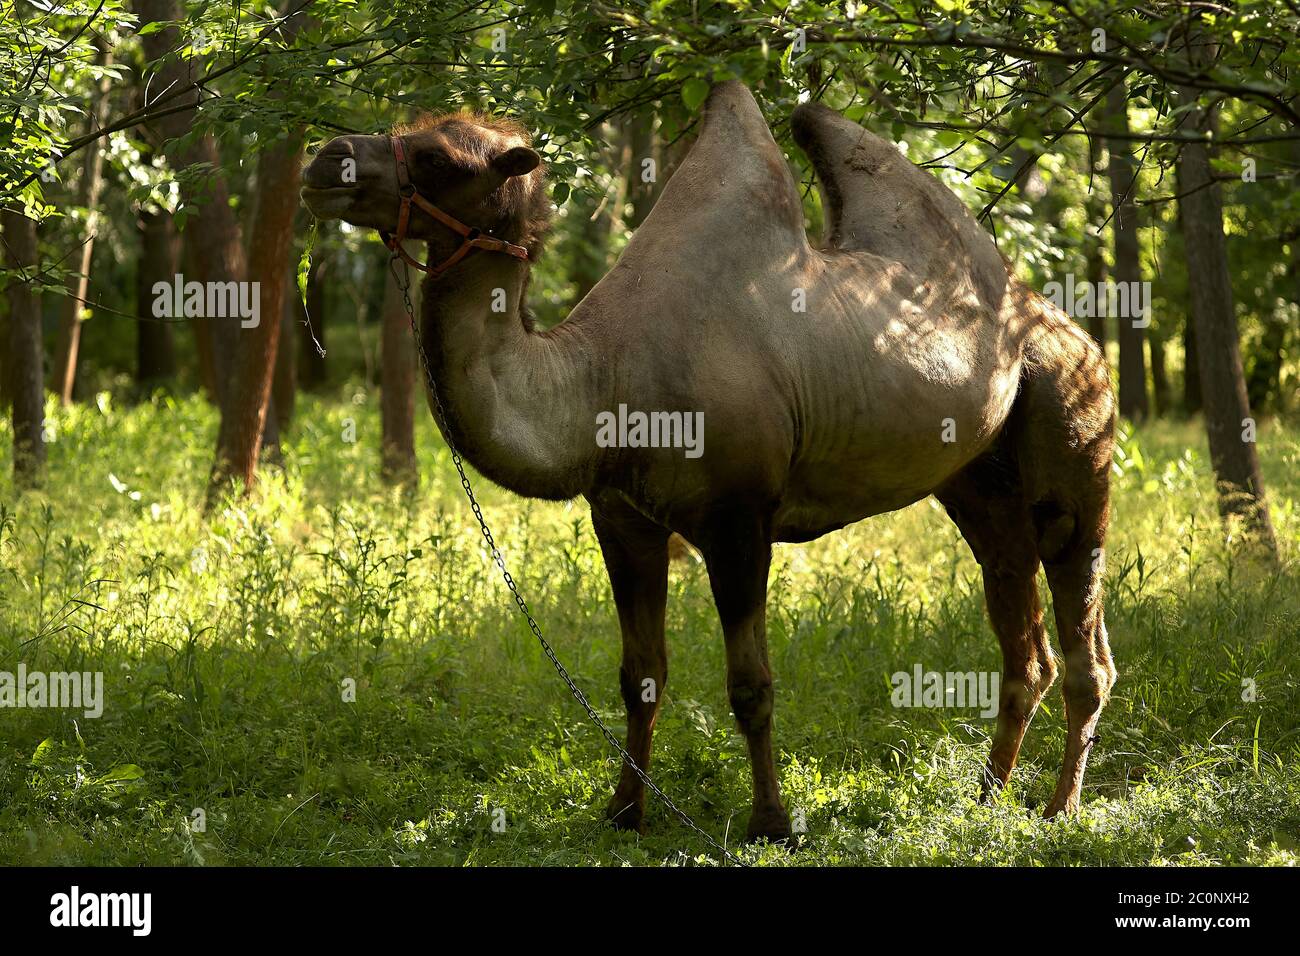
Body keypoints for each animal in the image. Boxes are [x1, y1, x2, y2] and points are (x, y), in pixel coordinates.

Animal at [300, 81, 1117, 843]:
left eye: (438, 159)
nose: (321, 159)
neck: (603, 379)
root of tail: (1064, 322)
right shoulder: (621, 518)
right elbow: (640, 677)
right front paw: (622, 811)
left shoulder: (738, 520)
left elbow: (750, 685)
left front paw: (772, 821)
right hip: (977, 485)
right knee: (1024, 641)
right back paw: (988, 798)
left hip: (1075, 430)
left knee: (1083, 637)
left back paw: (1059, 809)